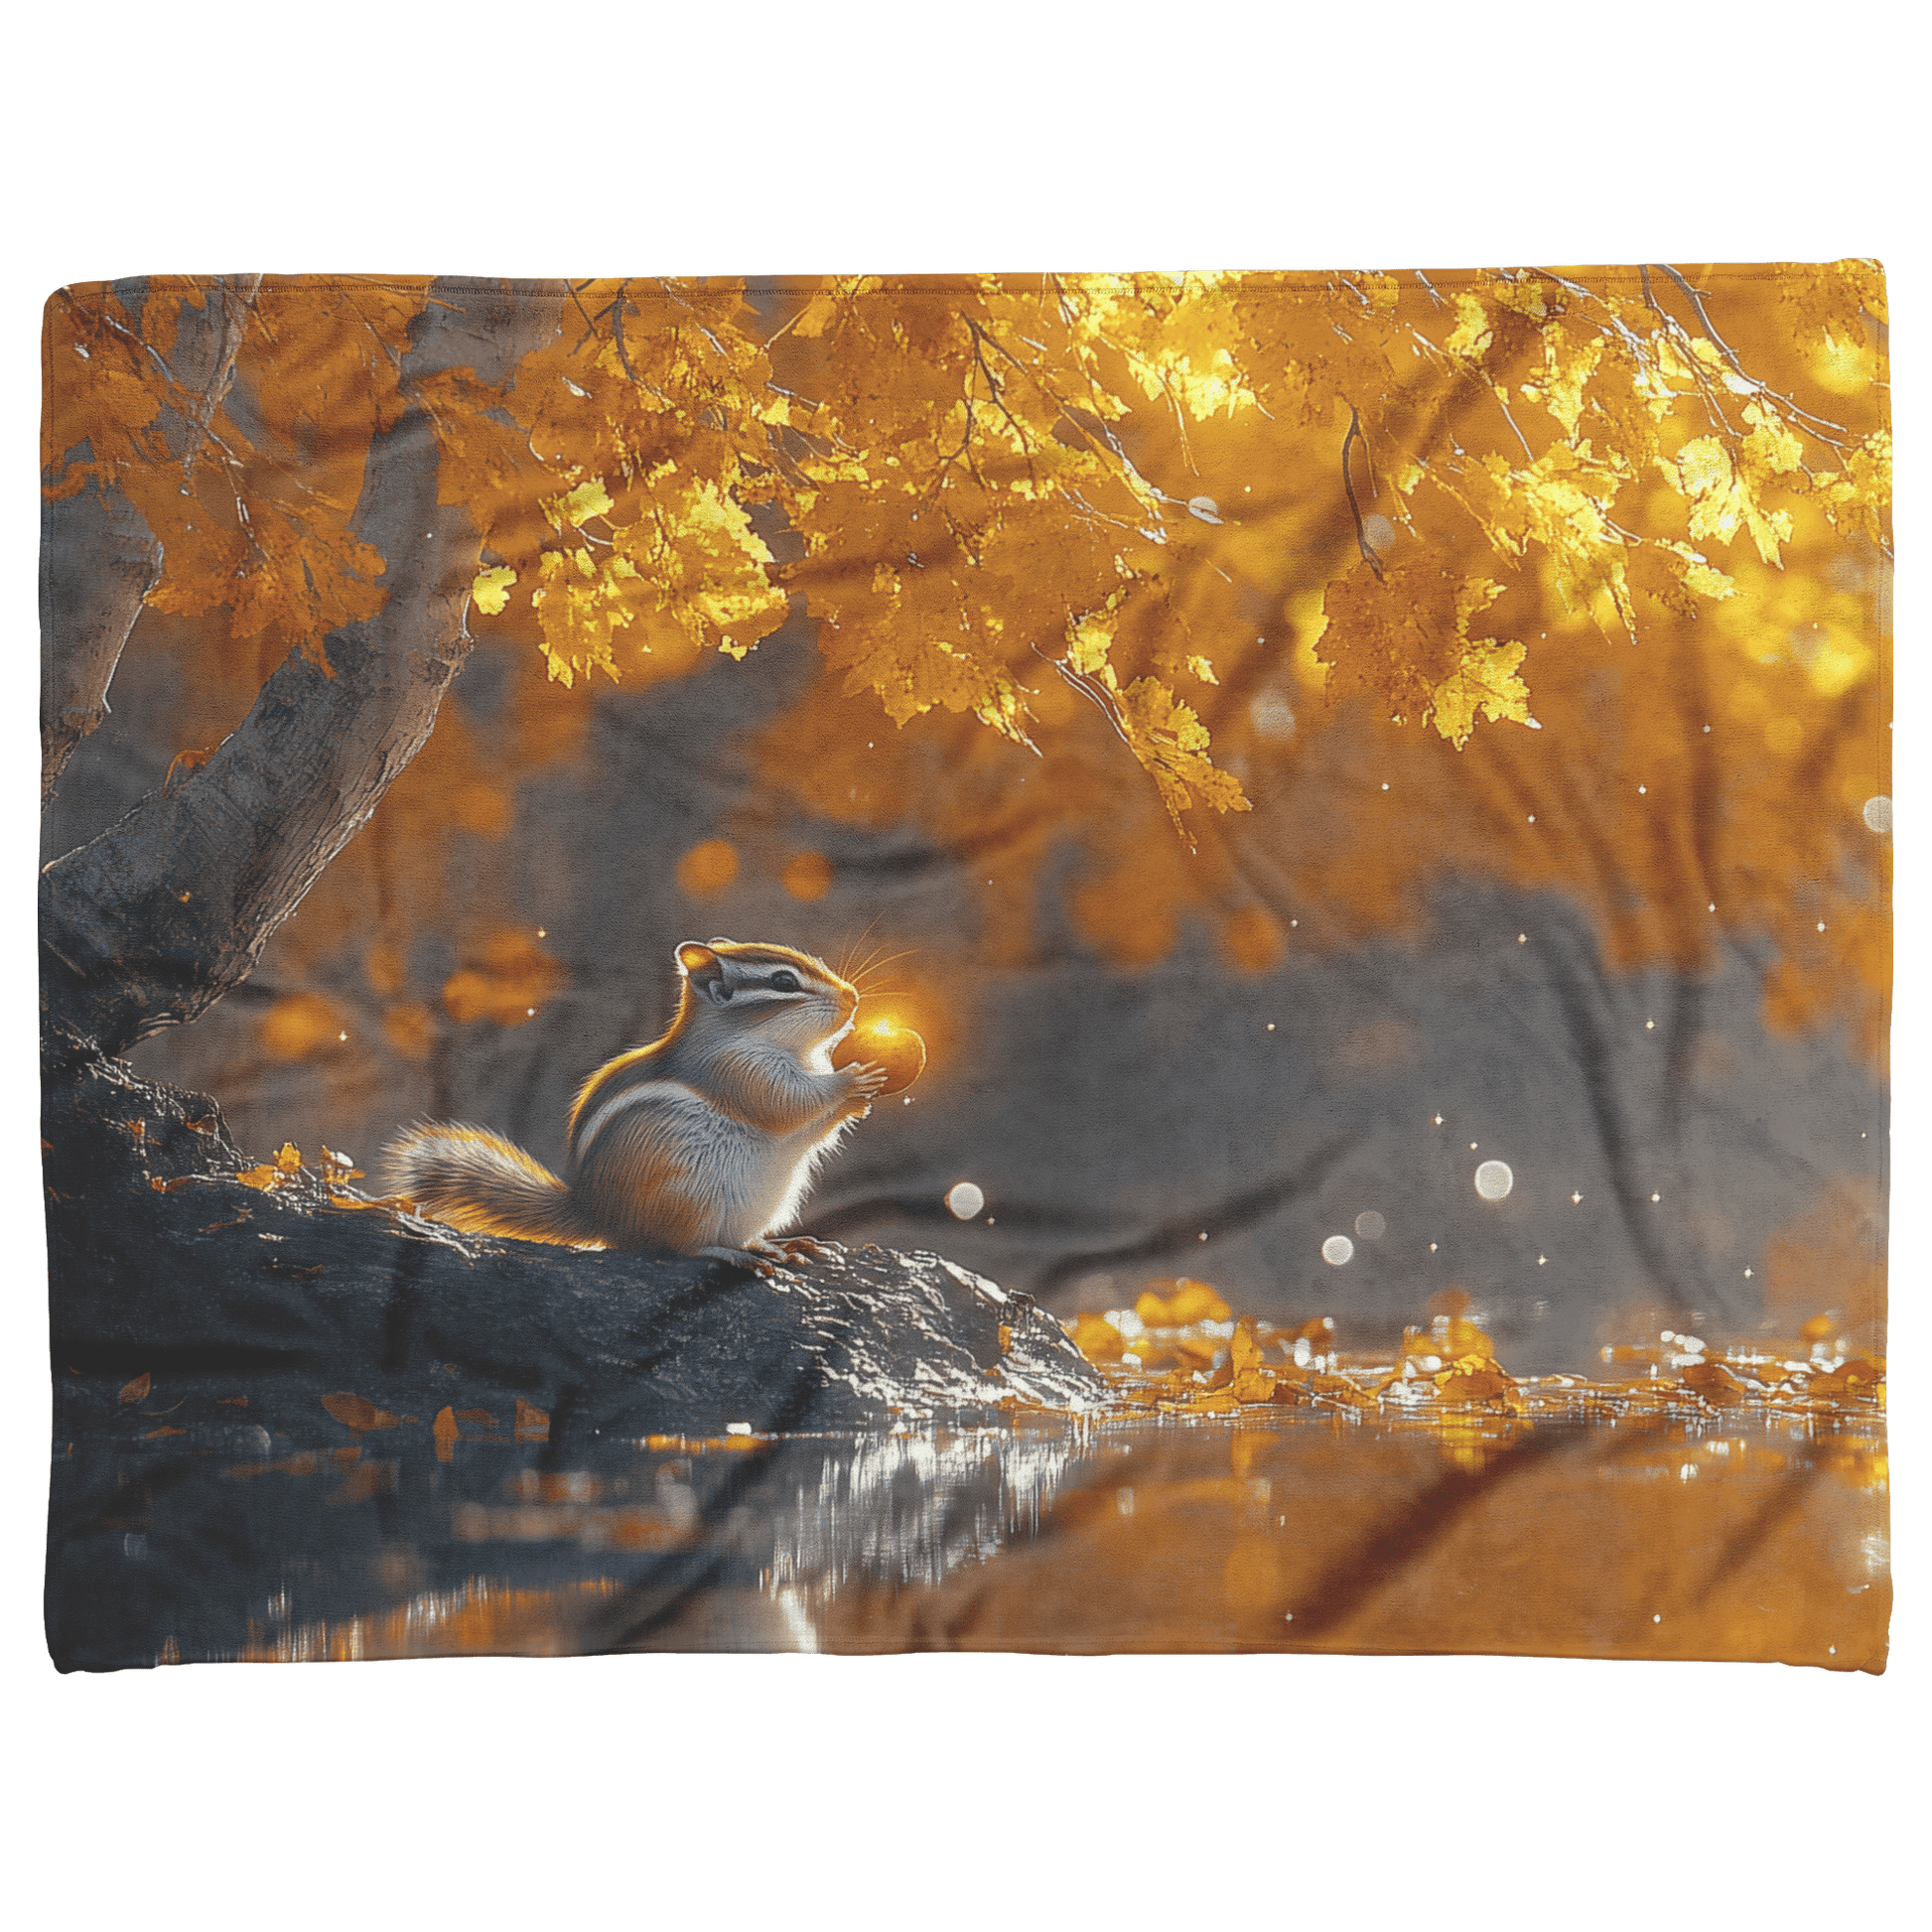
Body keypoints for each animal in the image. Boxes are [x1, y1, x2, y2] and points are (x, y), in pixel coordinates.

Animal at [379, 939, 888, 1273]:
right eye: (784, 981)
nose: (853, 998)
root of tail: (595, 1214)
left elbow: (808, 1129)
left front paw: (858, 1101)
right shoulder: (736, 1070)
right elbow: (787, 1105)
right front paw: (851, 1080)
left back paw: (777, 1245)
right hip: (687, 1197)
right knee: (676, 1247)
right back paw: (731, 1254)